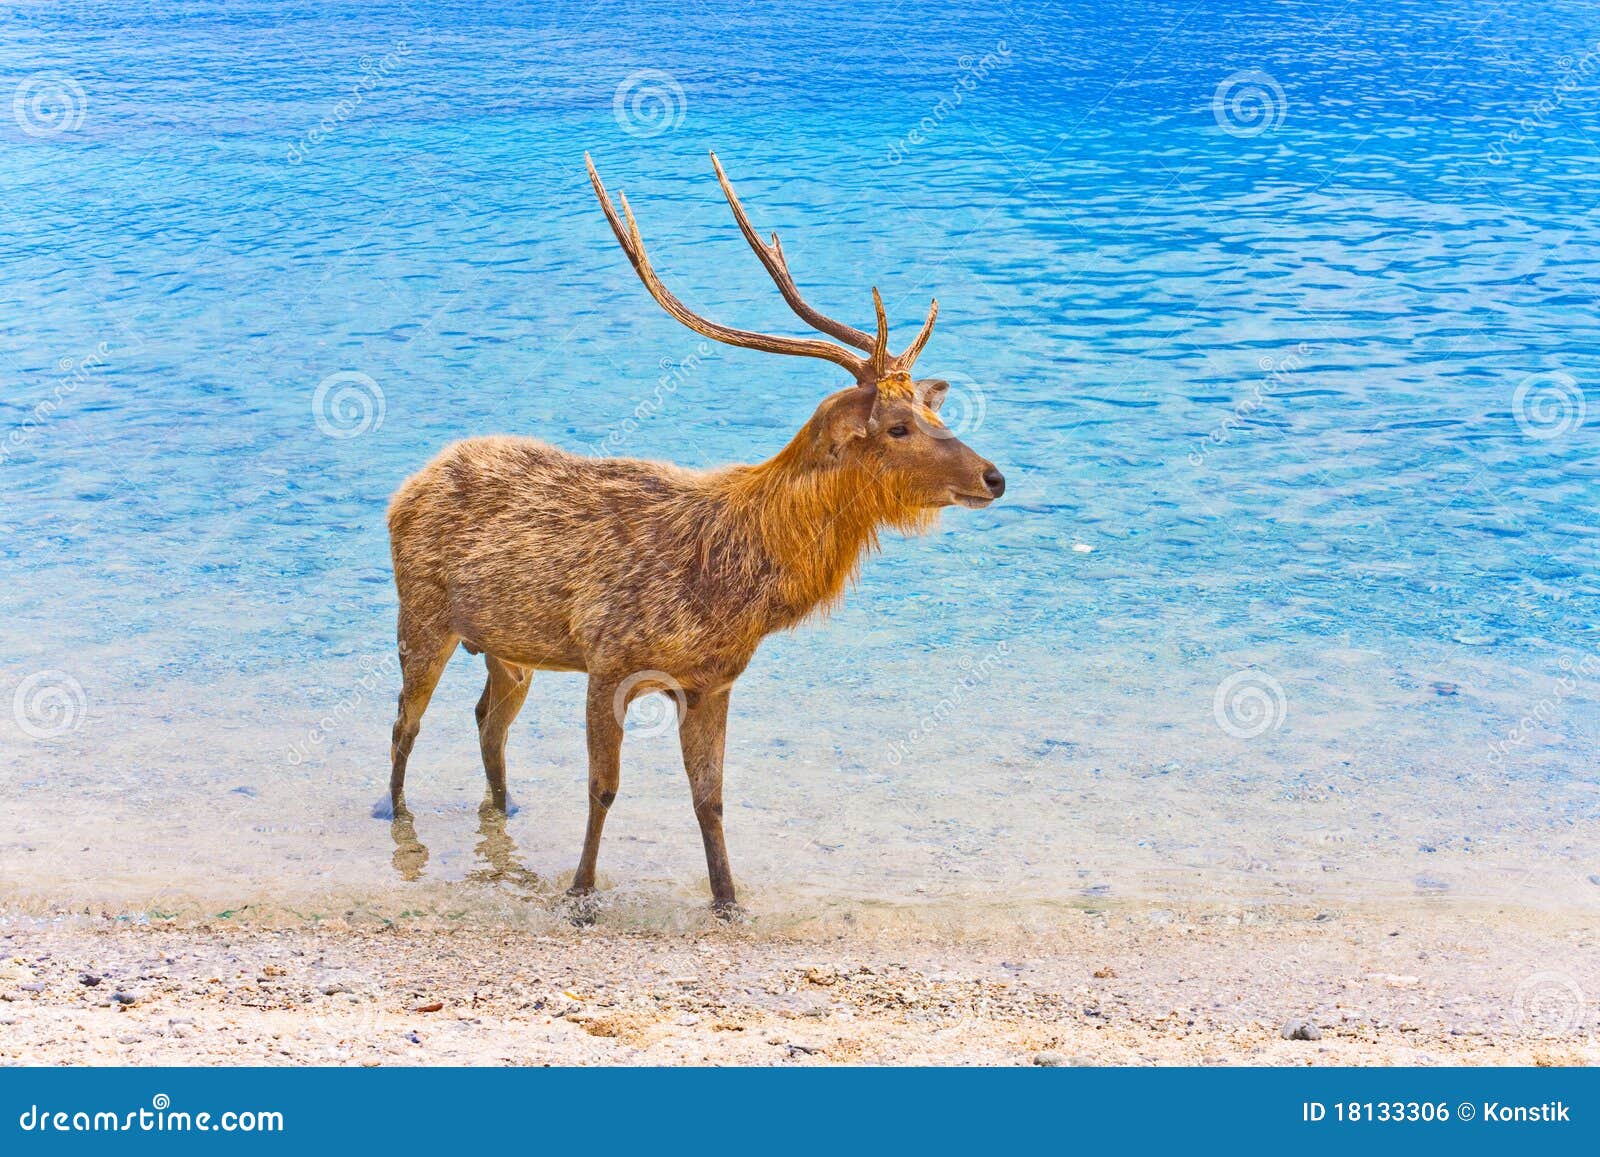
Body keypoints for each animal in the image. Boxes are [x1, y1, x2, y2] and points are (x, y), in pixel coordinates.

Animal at [384, 152, 1005, 915]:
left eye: (932, 409)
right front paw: (582, 894)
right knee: (405, 721)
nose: (993, 477)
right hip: (422, 612)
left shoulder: (713, 682)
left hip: (507, 646)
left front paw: (728, 899)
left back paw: (504, 809)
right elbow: (603, 788)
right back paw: (397, 814)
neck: (730, 586)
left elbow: (710, 797)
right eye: (897, 426)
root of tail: (408, 484)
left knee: (486, 720)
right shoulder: (610, 658)